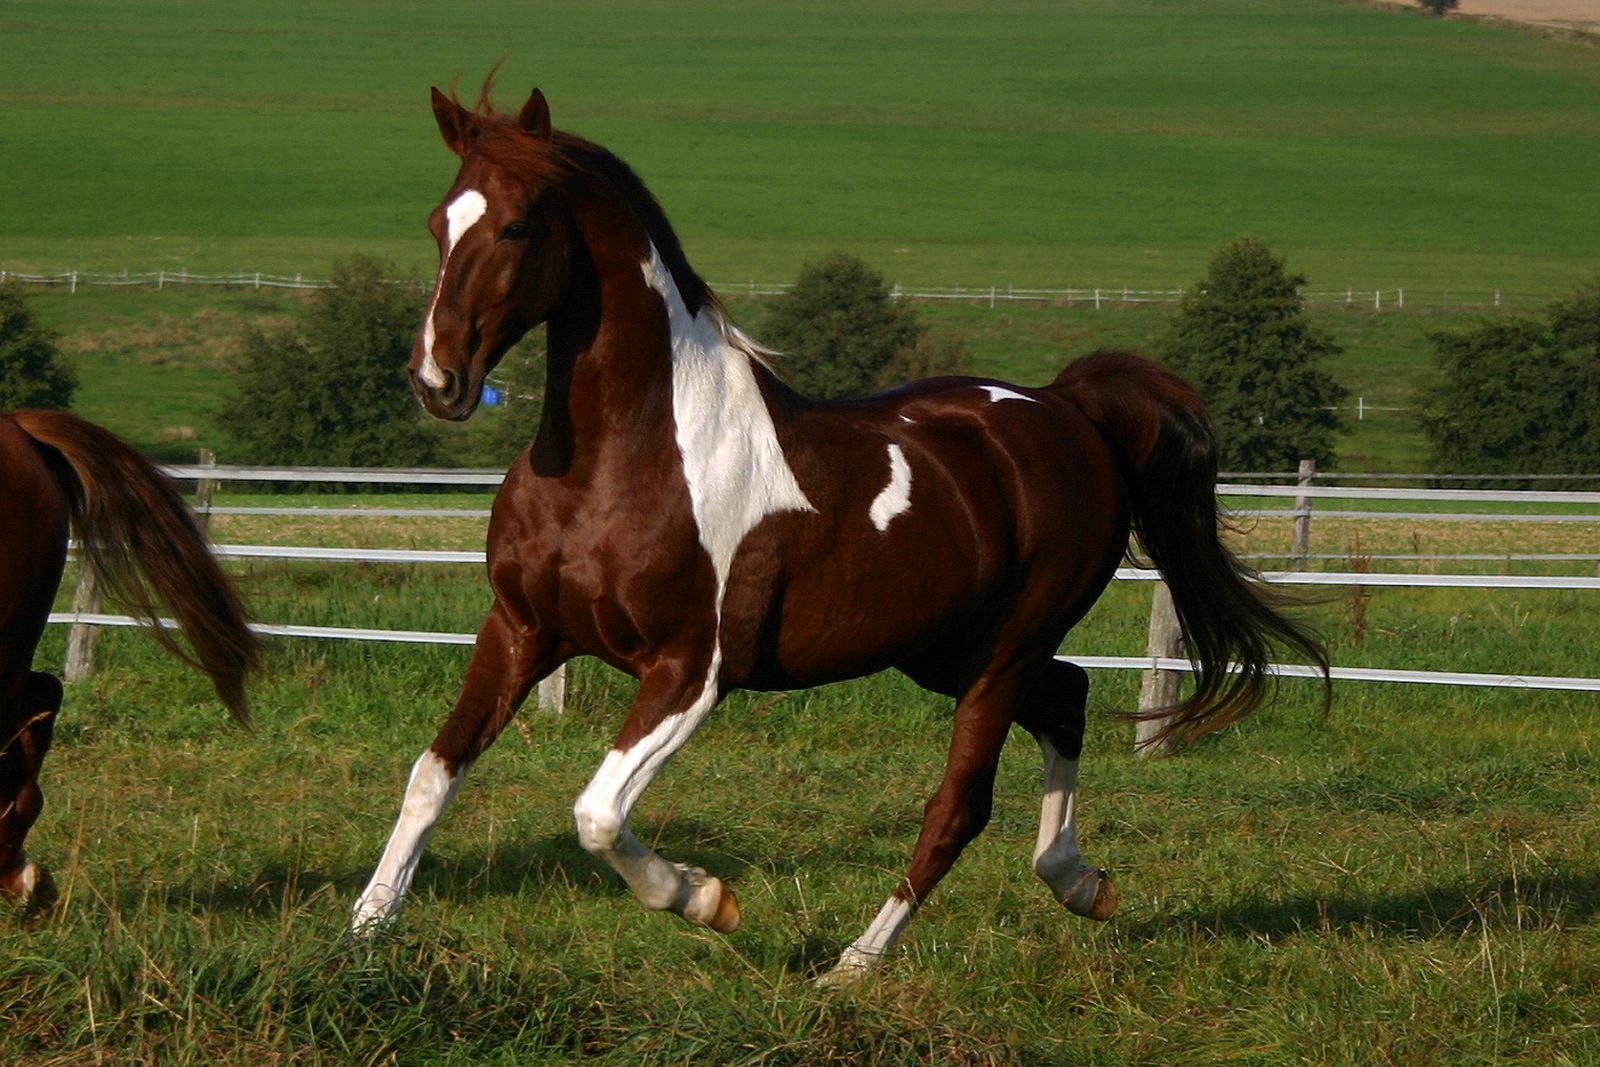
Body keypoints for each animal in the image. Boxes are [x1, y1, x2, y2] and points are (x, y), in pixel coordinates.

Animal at [353, 84, 1328, 981]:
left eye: (517, 227)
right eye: (439, 223)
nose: (437, 379)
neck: (623, 454)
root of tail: (1065, 408)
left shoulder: (690, 670)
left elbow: (597, 814)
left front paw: (707, 897)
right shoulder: (521, 629)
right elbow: (432, 774)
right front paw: (367, 929)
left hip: (1003, 651)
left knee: (959, 805)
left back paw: (853, 967)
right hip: (942, 648)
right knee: (1070, 696)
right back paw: (1081, 883)